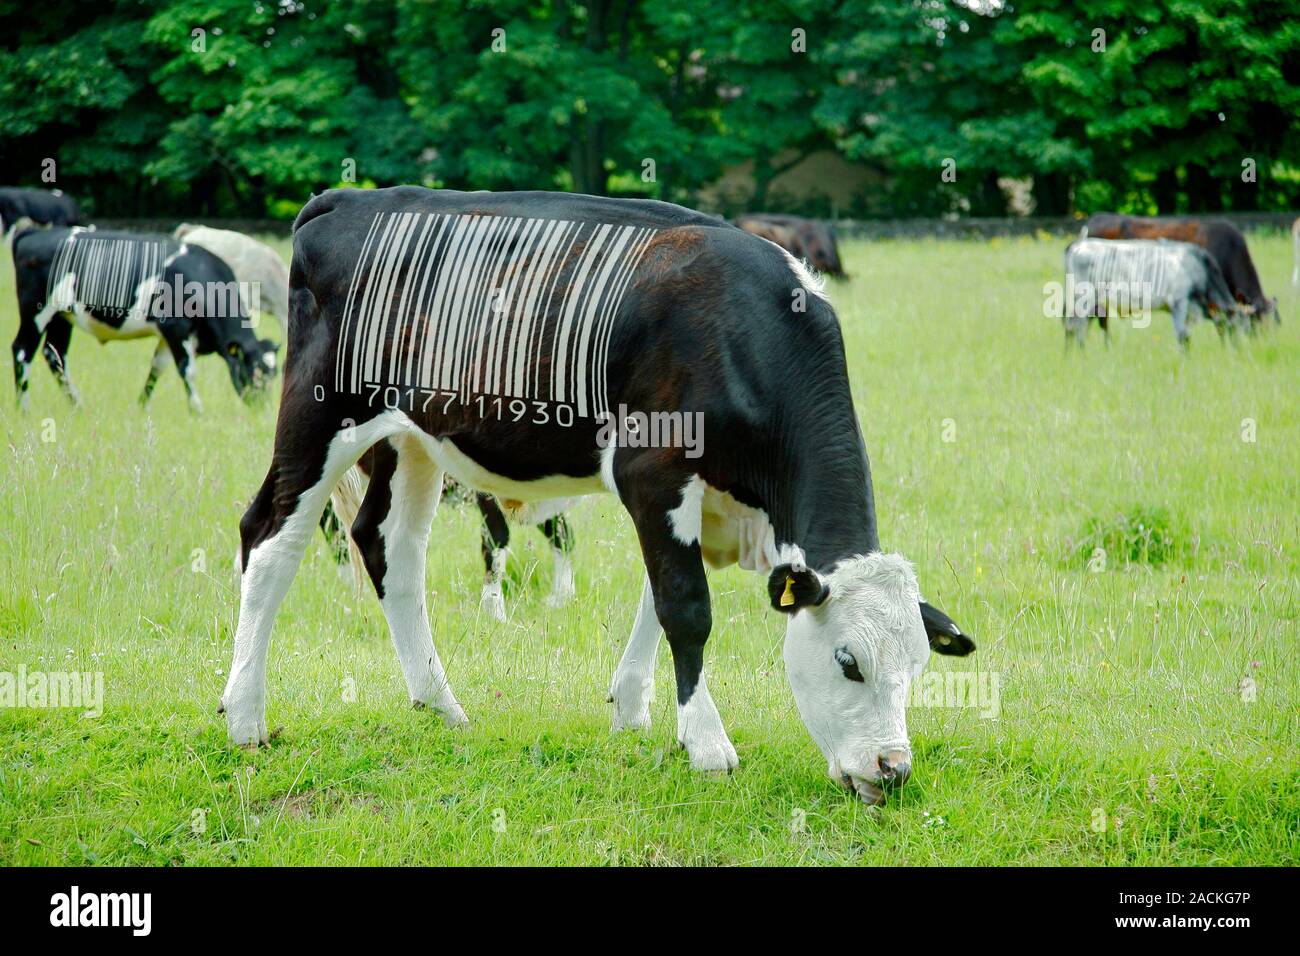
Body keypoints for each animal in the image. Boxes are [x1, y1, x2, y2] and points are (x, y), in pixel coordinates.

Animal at [10, 226, 279, 411]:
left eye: (274, 374)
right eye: (254, 371)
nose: (261, 406)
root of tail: (35, 233)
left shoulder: (169, 335)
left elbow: (157, 368)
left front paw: (141, 406)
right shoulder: (176, 329)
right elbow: (188, 370)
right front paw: (197, 409)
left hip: (62, 317)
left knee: (55, 355)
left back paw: (77, 406)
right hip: (36, 311)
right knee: (22, 351)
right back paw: (23, 407)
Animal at [220, 186, 974, 806]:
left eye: (917, 666)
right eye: (849, 662)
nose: (891, 769)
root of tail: (350, 200)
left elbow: (655, 598)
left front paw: (634, 709)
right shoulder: (652, 470)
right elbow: (686, 607)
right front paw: (707, 743)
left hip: (413, 440)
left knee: (389, 551)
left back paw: (439, 703)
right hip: (320, 416)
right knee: (269, 537)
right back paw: (247, 715)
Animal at [1062, 237, 1245, 346]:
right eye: (1235, 326)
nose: (1239, 351)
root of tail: (1078, 244)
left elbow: (1186, 336)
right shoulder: (1179, 303)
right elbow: (1182, 336)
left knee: (1071, 327)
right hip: (1085, 300)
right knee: (1077, 328)